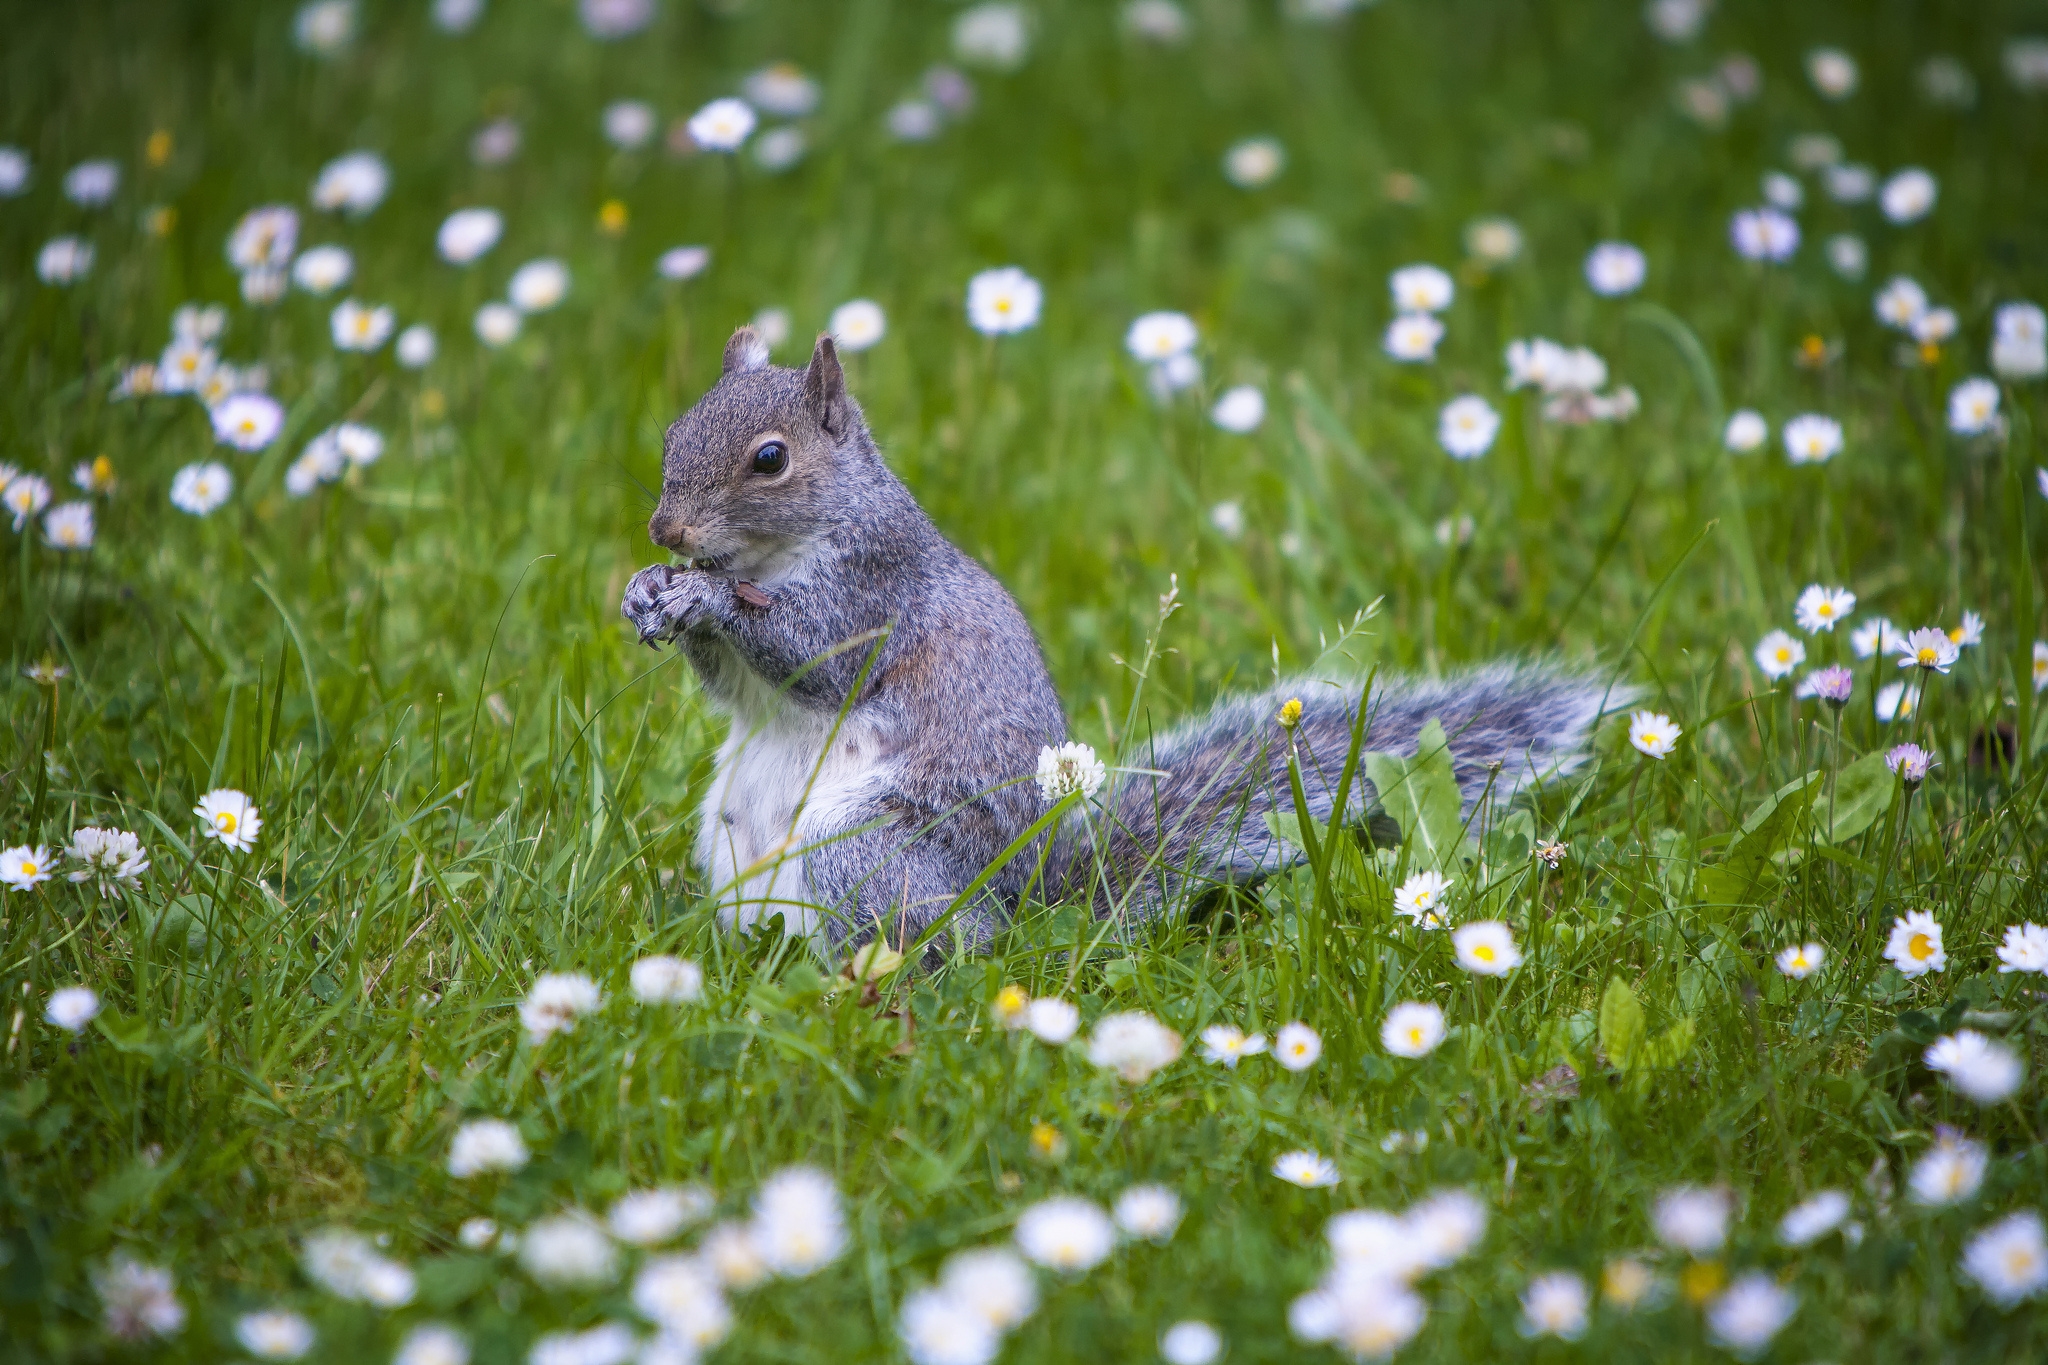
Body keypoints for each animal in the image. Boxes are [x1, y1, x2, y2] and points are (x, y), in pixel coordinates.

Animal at [622, 327, 1621, 957]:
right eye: (672, 428)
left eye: (770, 459)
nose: (665, 530)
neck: (775, 550)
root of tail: (1018, 911)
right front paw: (648, 592)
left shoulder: (874, 588)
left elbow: (815, 652)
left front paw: (704, 595)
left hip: (863, 851)